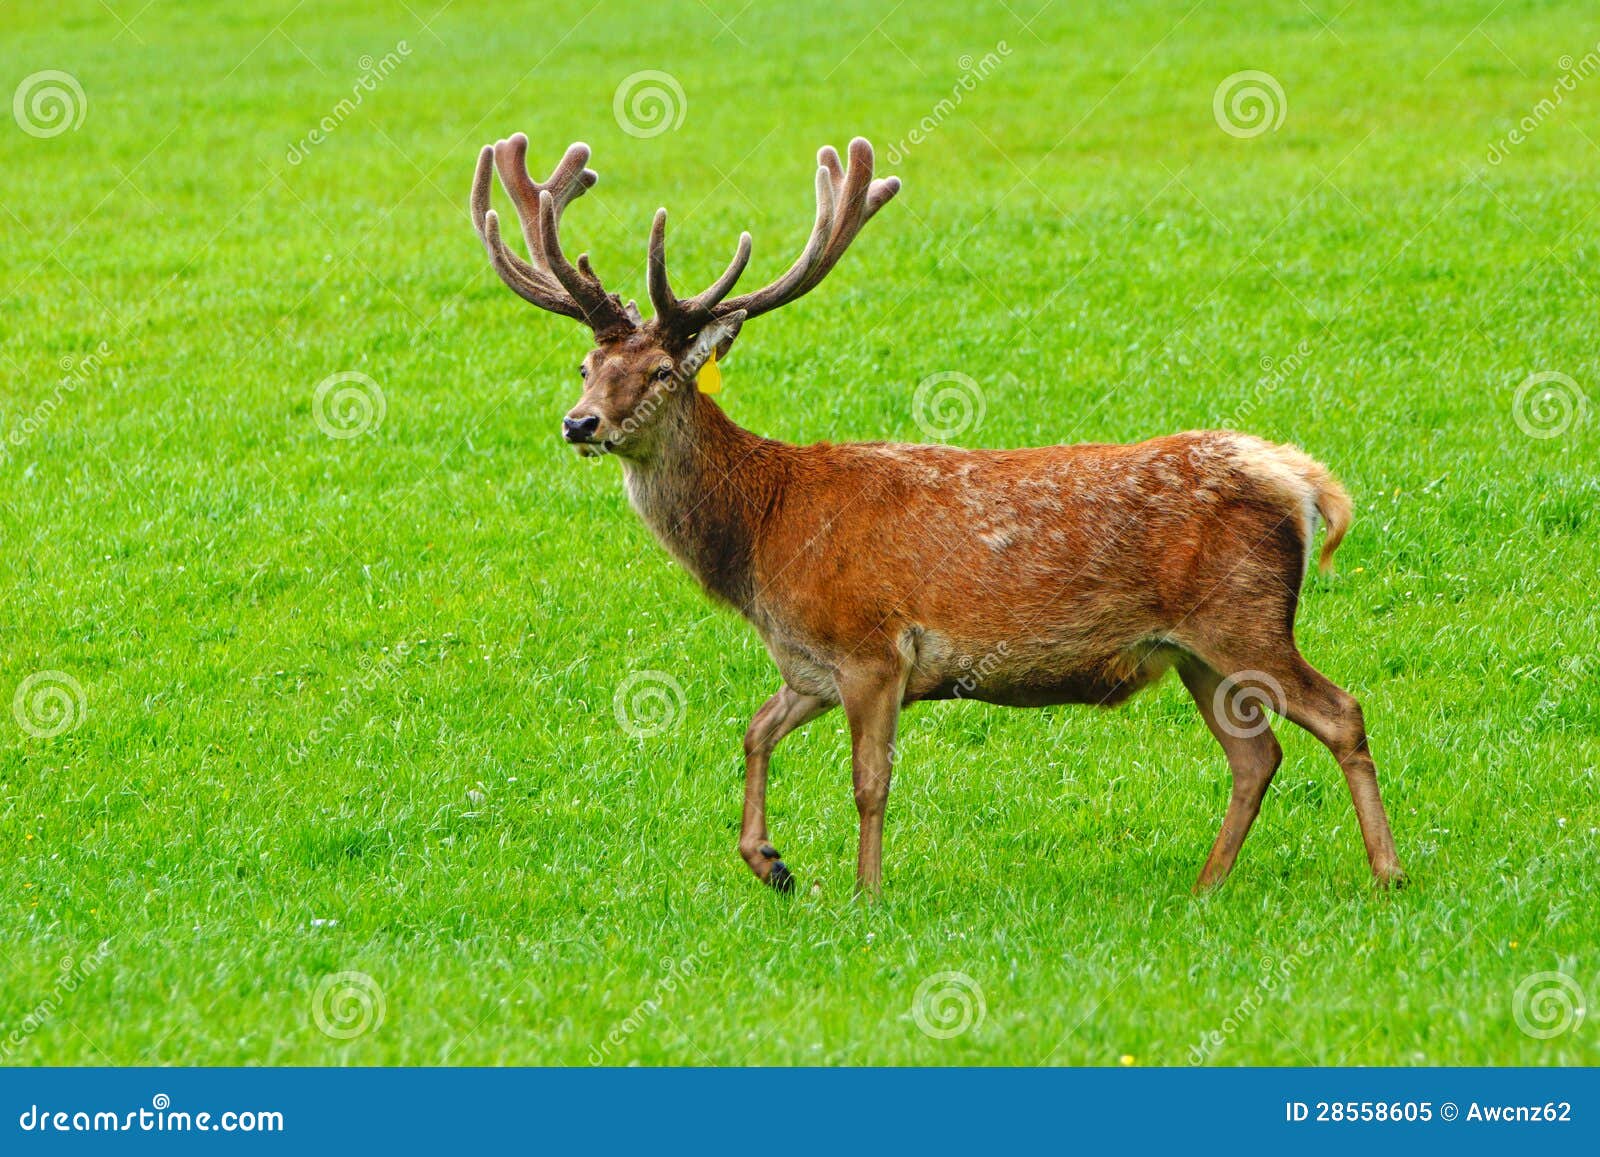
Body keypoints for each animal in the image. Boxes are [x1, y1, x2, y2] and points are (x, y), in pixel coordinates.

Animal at [468, 132, 1406, 898]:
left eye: (662, 371)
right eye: (586, 364)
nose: (580, 423)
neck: (762, 539)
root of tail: (1301, 481)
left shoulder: (871, 645)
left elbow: (868, 780)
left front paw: (866, 894)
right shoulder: (809, 664)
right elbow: (753, 730)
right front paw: (770, 862)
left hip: (1244, 618)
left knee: (1340, 711)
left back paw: (1386, 872)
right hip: (1193, 651)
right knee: (1257, 751)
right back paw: (1208, 884)